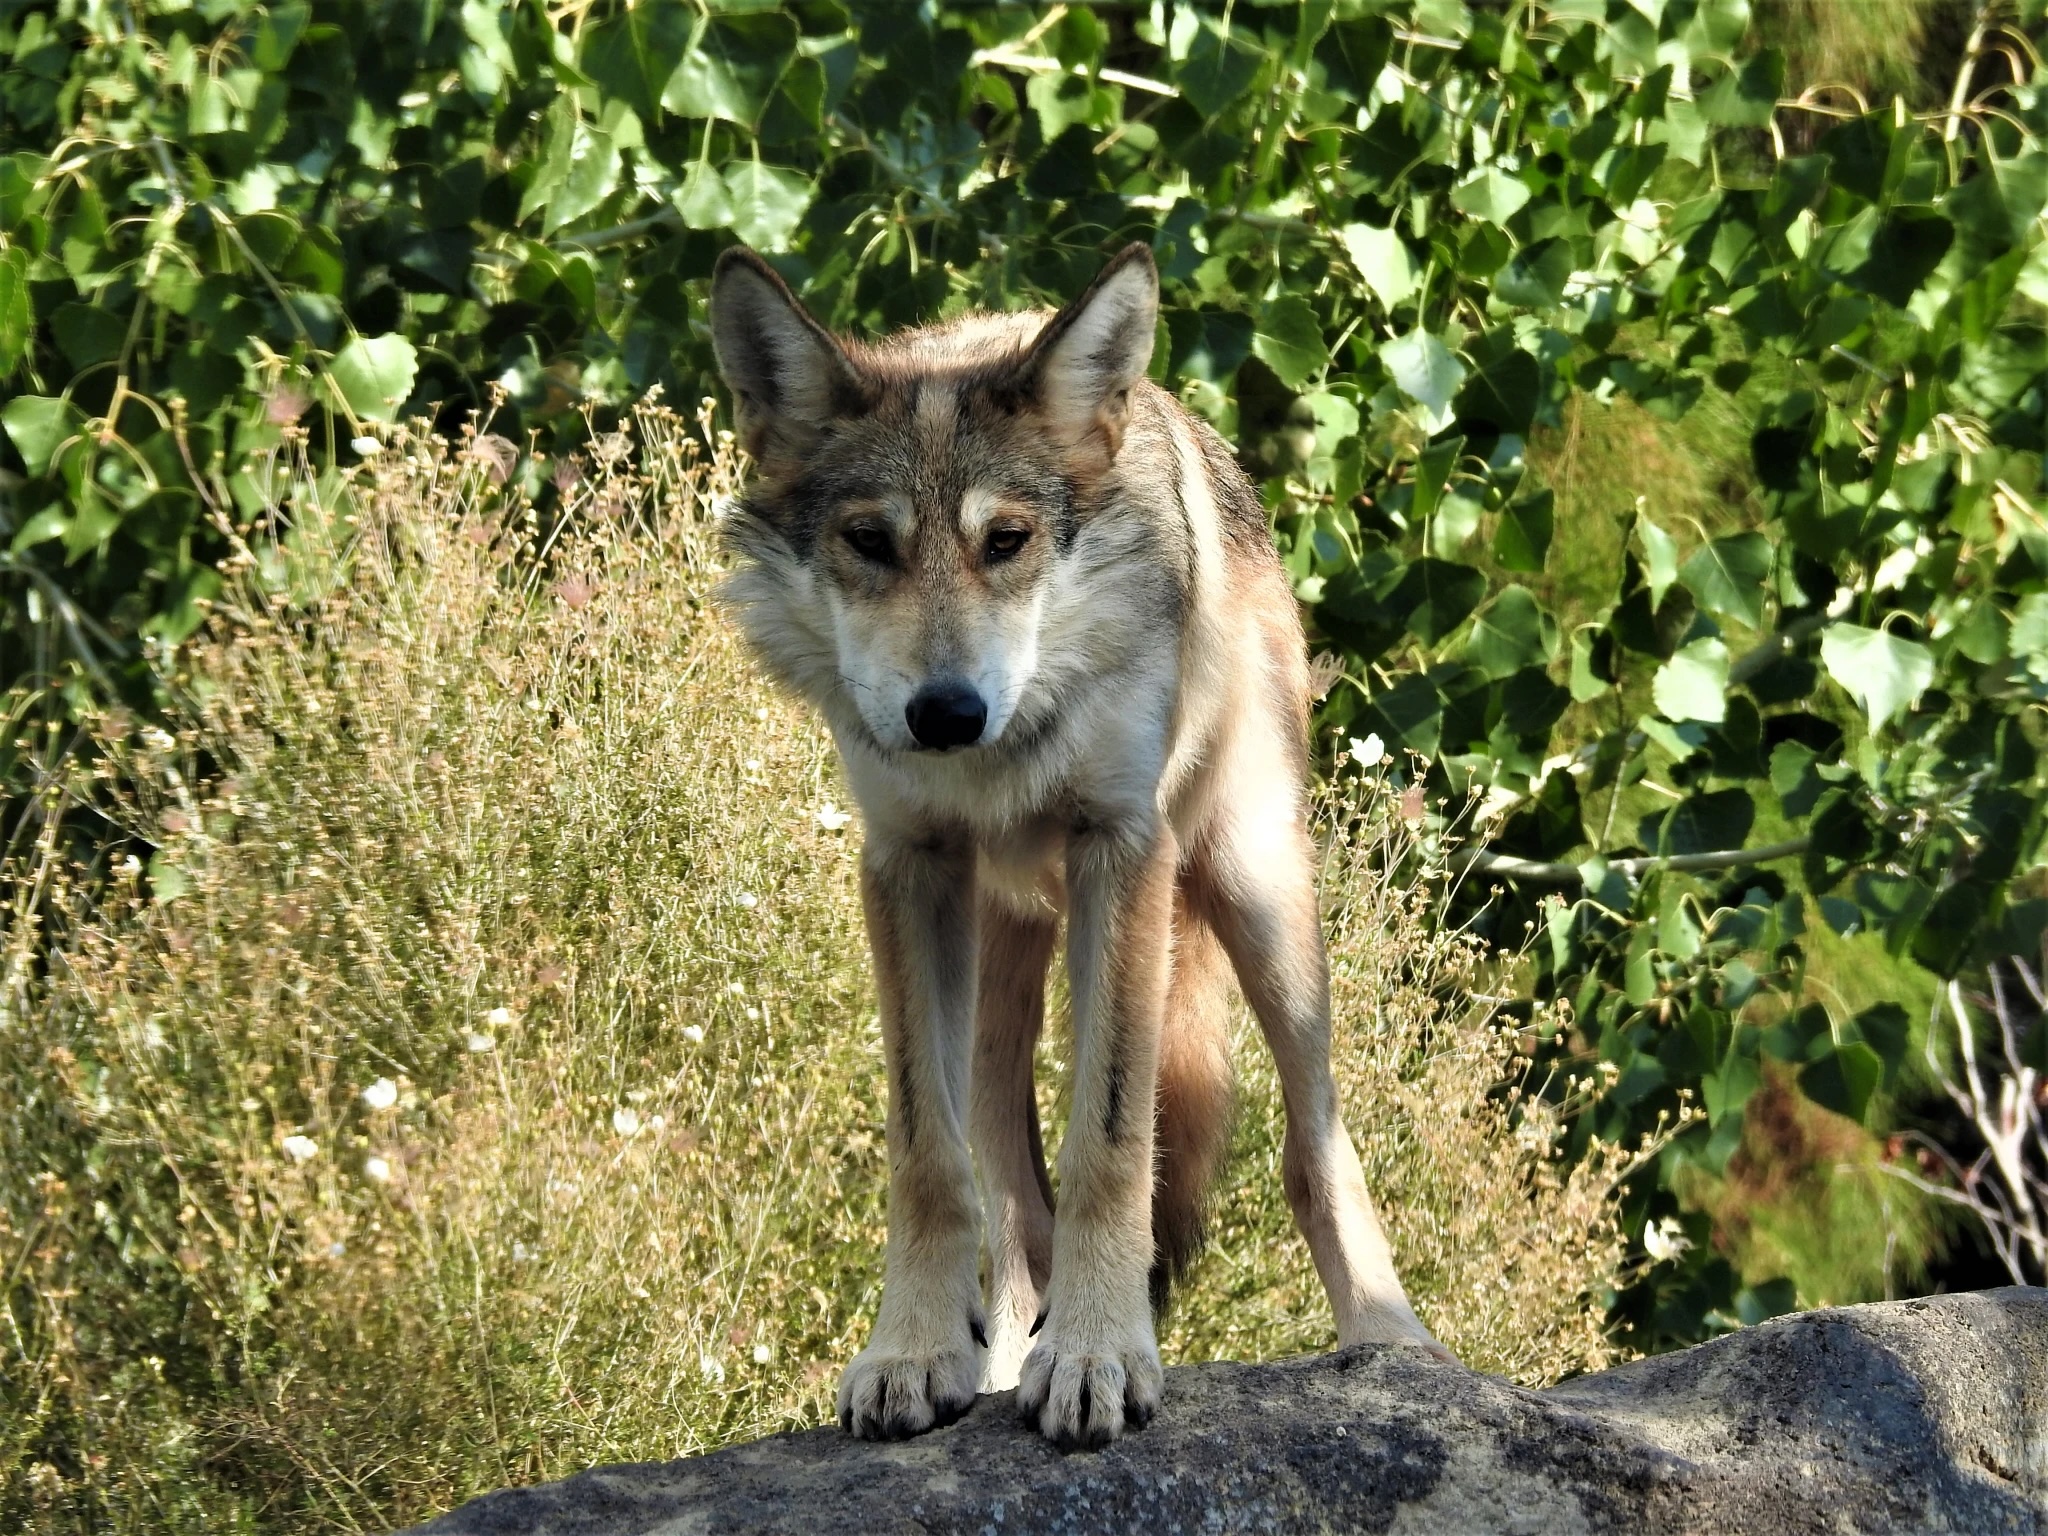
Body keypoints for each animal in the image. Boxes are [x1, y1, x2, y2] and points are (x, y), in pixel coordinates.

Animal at [709, 243, 1446, 1451]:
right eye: (870, 543)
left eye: (1004, 542)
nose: (946, 713)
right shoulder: (906, 862)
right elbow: (926, 1153)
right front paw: (914, 1353)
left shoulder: (1121, 847)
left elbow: (1110, 1141)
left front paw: (1100, 1355)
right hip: (997, 968)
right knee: (1011, 1198)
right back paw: (1003, 1353)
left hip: (1255, 895)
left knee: (1312, 1144)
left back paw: (1393, 1347)